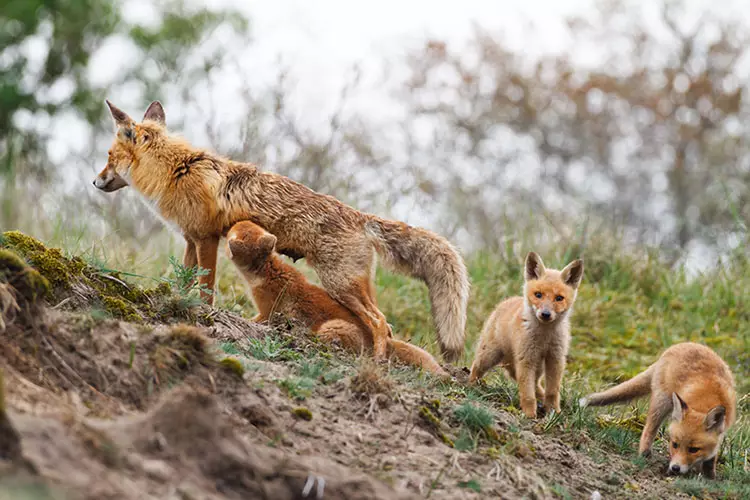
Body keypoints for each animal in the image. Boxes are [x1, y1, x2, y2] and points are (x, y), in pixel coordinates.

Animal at [223, 221, 446, 376]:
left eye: (235, 229)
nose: (228, 223)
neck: (268, 273)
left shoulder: (267, 309)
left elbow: (256, 318)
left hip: (331, 327)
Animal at [470, 252, 588, 420]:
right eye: (538, 295)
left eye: (559, 298)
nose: (545, 314)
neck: (545, 337)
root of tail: (507, 301)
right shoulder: (526, 359)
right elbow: (527, 394)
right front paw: (529, 415)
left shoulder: (555, 359)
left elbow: (552, 392)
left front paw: (553, 411)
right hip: (490, 356)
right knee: (476, 366)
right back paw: (470, 385)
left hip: (537, 367)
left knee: (535, 384)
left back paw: (542, 399)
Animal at [580, 342, 740, 478]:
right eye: (674, 444)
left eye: (694, 449)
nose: (675, 468)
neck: (706, 401)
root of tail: (676, 347)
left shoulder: (722, 430)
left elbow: (712, 456)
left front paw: (709, 475)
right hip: (661, 402)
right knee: (649, 429)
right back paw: (644, 454)